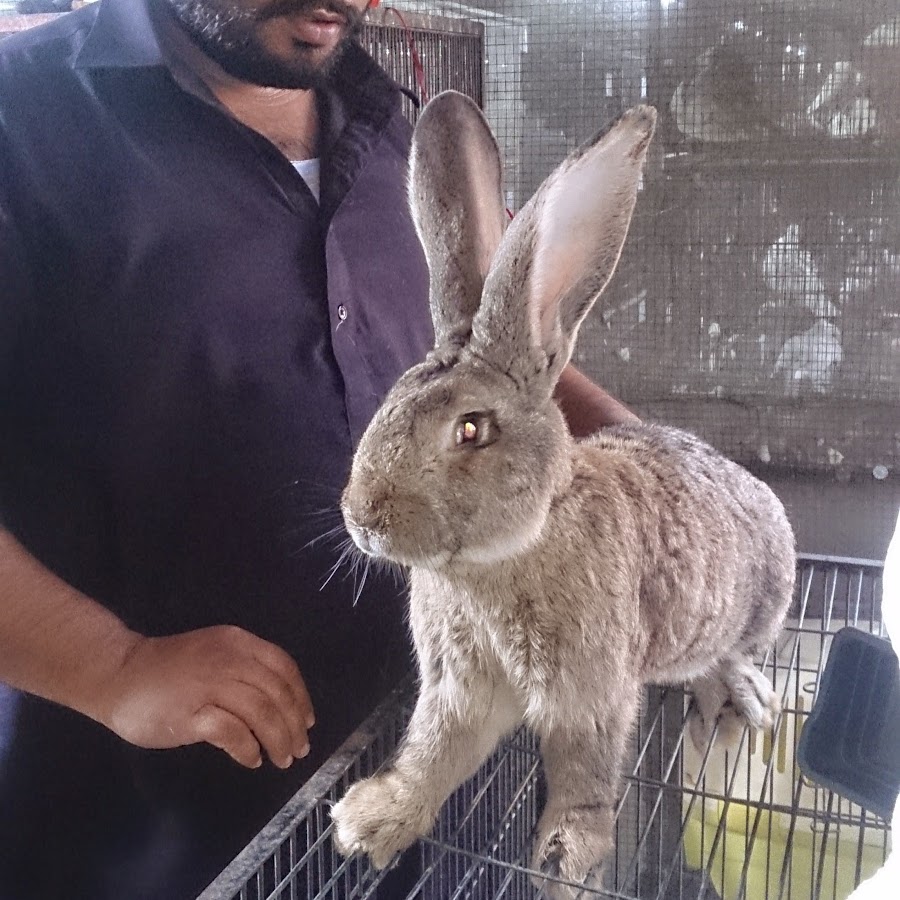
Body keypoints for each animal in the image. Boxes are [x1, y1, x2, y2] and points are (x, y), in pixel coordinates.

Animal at [330, 91, 796, 898]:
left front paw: (562, 856)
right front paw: (370, 822)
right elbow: (430, 753)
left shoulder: (590, 695)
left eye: (472, 429)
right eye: (388, 402)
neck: (499, 558)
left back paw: (743, 695)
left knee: (728, 659)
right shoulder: (455, 692)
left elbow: (584, 773)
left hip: (761, 598)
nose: (362, 519)